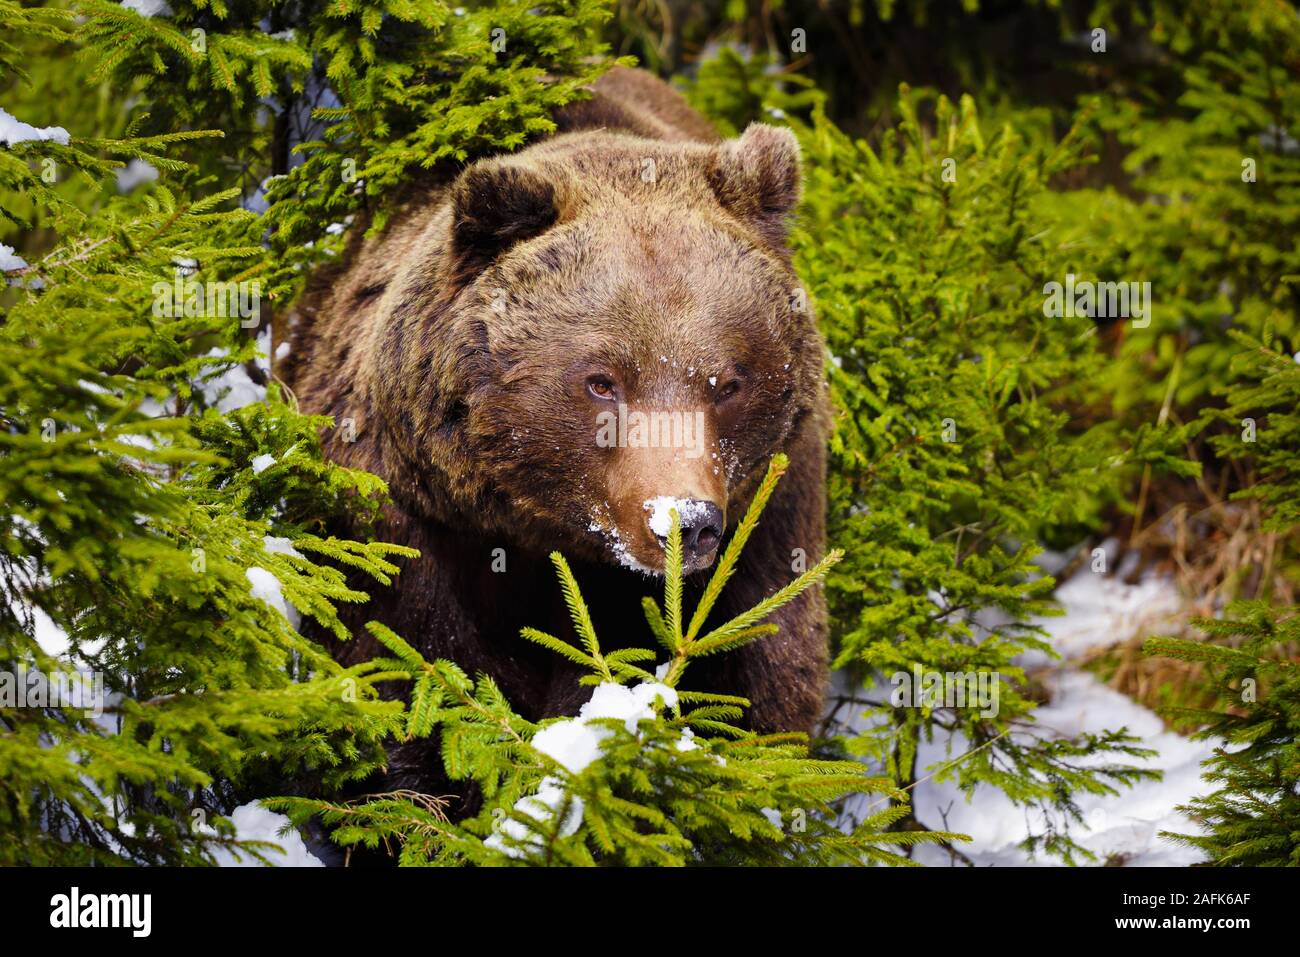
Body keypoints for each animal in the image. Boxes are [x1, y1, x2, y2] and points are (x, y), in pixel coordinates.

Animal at [279, 66, 830, 793]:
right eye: (602, 380)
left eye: (728, 382)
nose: (684, 522)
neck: (546, 541)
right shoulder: (403, 524)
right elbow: (413, 679)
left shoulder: (765, 530)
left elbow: (749, 691)